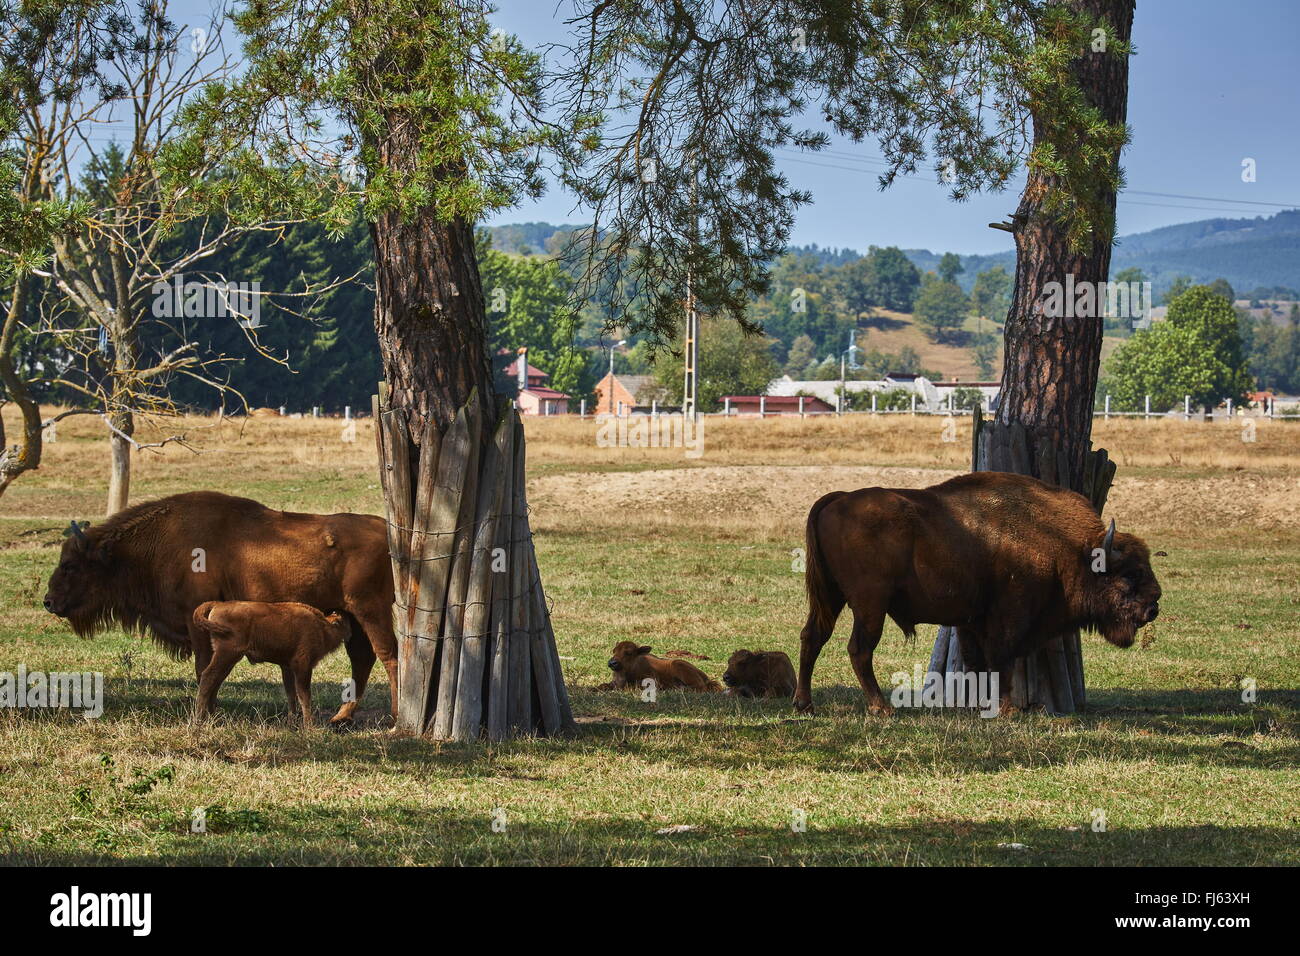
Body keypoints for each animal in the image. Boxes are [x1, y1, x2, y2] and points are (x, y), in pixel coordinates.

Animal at [191, 600, 352, 726]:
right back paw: (199, 719)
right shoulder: (303, 667)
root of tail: (219, 604)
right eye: (343, 622)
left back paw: (211, 716)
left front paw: (291, 723)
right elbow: (304, 695)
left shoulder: (287, 667)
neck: (322, 626)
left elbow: (291, 694)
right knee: (208, 677)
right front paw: (309, 725)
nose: (351, 634)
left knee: (215, 682)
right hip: (227, 654)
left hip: (228, 659)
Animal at [797, 471, 1161, 716]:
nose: (1153, 606)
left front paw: (979, 704)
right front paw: (1006, 710)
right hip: (870, 604)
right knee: (859, 649)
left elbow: (977, 661)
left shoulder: (971, 619)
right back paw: (881, 708)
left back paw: (805, 704)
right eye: (1130, 573)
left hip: (831, 596)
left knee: (813, 637)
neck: (1067, 546)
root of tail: (838, 498)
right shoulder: (1009, 616)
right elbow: (1001, 659)